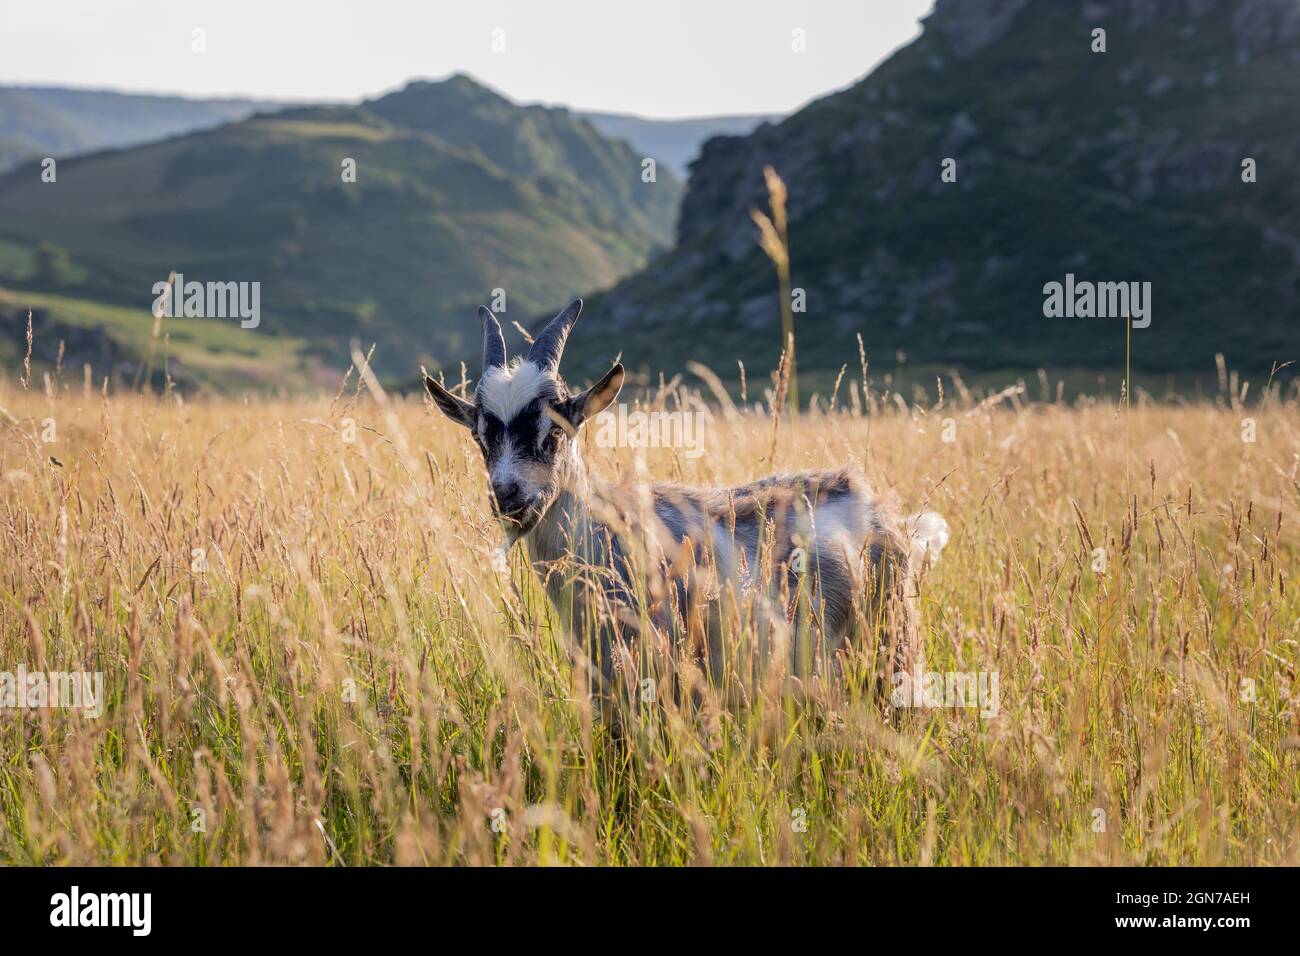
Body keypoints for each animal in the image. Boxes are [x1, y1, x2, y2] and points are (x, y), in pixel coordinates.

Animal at [425, 299, 949, 715]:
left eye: (554, 432)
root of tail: (884, 512)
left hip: (891, 648)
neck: (604, 533)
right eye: (481, 438)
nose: (506, 494)